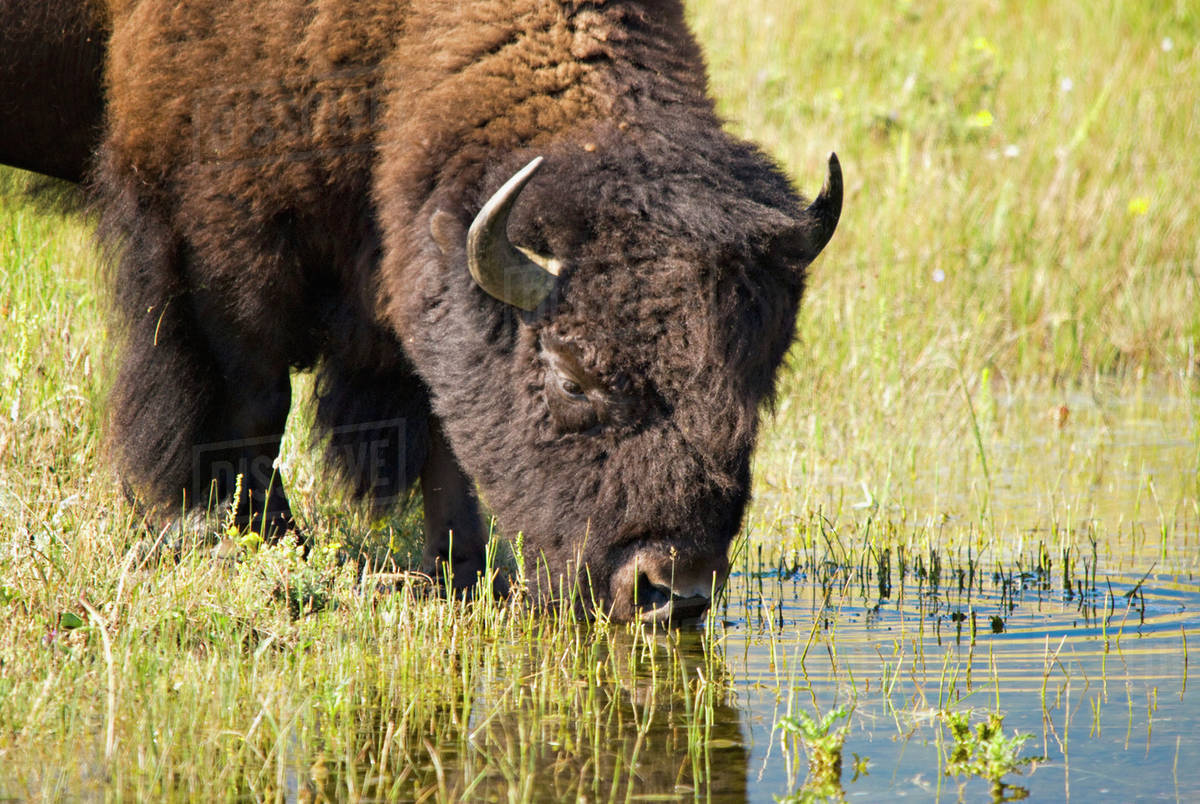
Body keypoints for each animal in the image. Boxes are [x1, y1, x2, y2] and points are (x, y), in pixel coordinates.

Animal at [0, 0, 841, 622]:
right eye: (572, 375)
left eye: (756, 388)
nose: (673, 592)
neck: (405, 35)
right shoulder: (210, 233)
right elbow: (246, 404)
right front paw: (254, 542)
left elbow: (442, 431)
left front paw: (465, 572)